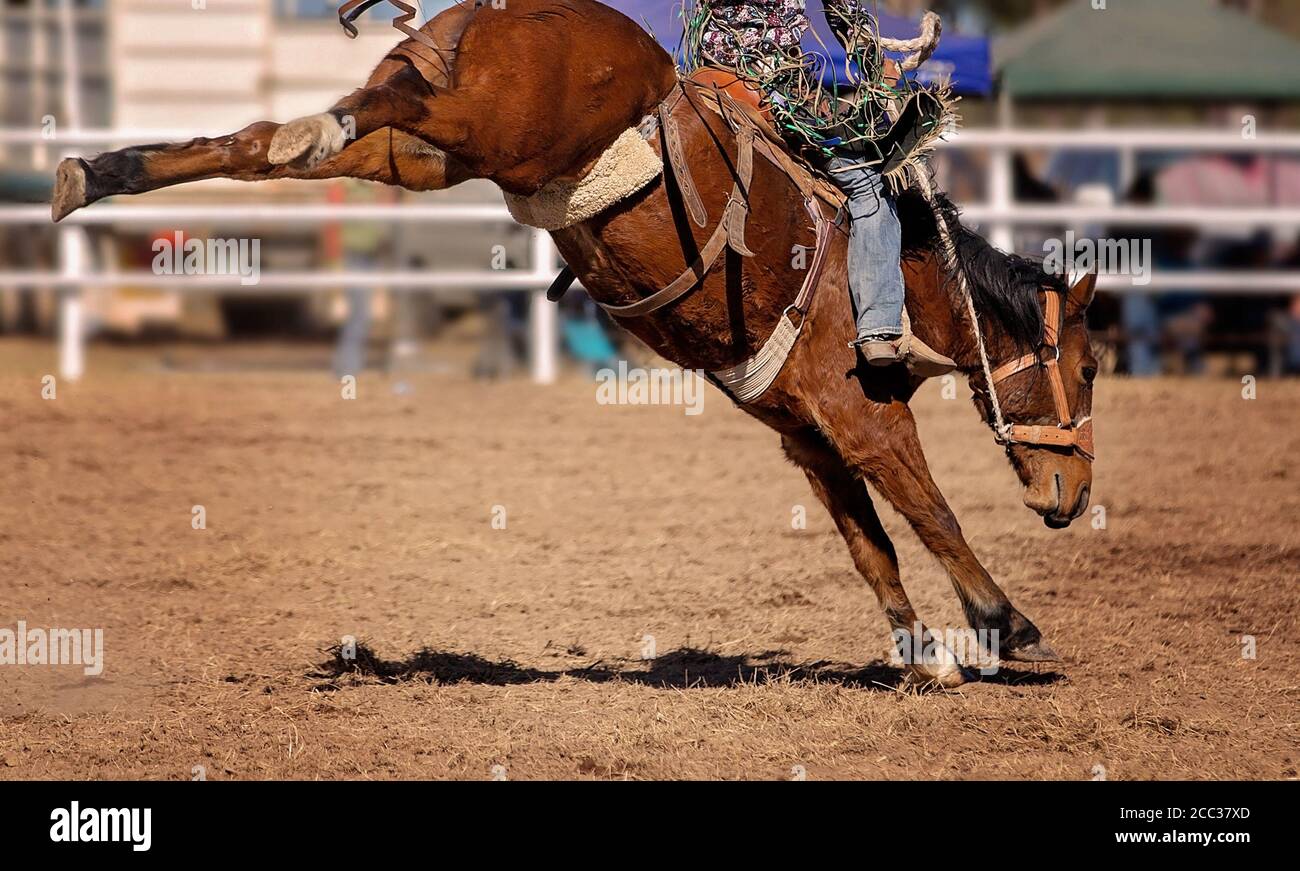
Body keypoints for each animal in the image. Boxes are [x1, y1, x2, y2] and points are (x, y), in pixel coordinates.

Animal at [50, 0, 1098, 687]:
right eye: (1088, 366)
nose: (1072, 497)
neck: (903, 276)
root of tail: (490, 12)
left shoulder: (805, 433)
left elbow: (870, 544)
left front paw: (926, 653)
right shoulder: (858, 414)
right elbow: (932, 513)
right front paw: (1005, 624)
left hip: (435, 151)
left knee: (267, 140)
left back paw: (100, 170)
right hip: (487, 126)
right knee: (359, 114)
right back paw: (293, 125)